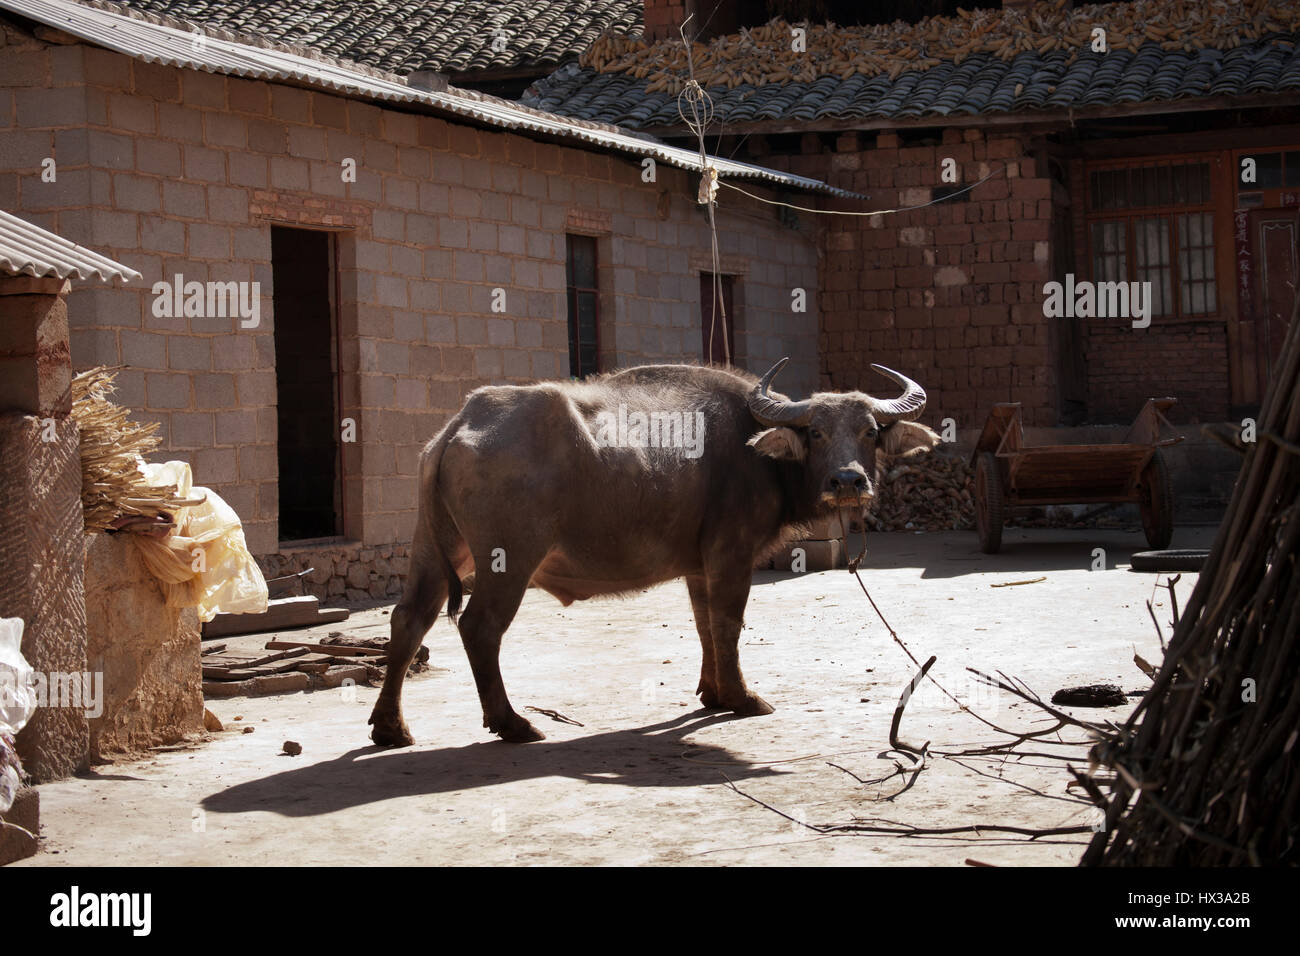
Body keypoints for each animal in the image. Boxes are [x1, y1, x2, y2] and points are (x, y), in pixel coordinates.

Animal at [369, 359, 939, 745]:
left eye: (870, 432)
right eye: (816, 431)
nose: (848, 481)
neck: (758, 454)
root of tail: (459, 425)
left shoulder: (698, 565)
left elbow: (704, 624)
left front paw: (713, 693)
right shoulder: (731, 554)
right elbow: (728, 623)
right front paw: (742, 698)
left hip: (434, 549)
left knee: (408, 619)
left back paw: (390, 726)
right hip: (507, 559)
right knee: (479, 628)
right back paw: (512, 723)